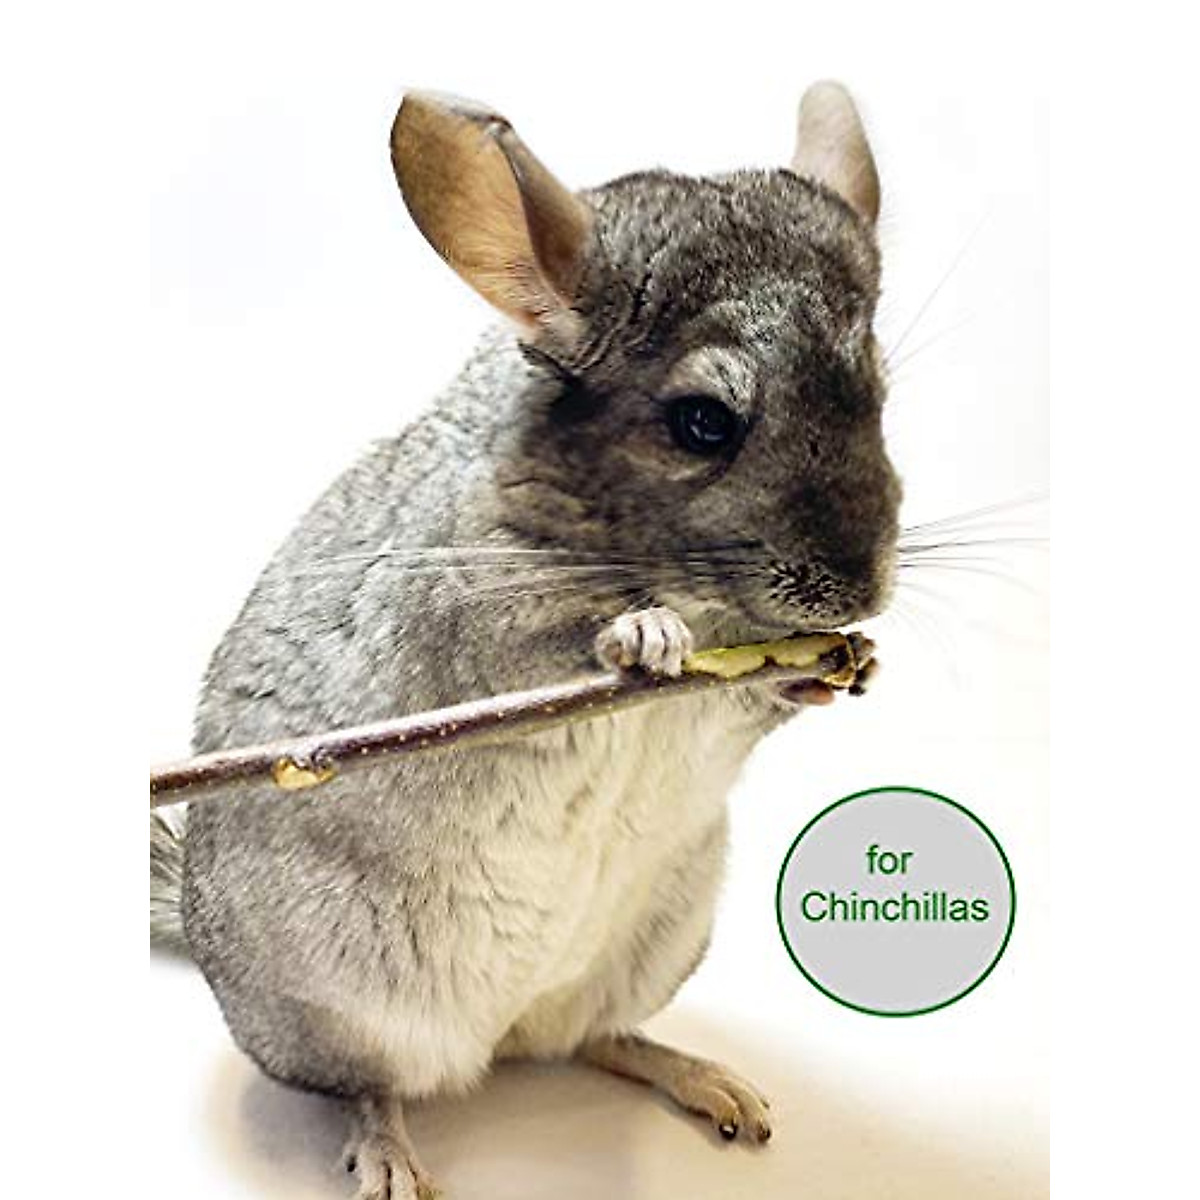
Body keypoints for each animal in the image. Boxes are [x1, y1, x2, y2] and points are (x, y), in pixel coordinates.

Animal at [150, 81, 901, 1199]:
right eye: (703, 424)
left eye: (882, 396)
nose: (865, 588)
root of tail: (498, 1036)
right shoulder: (456, 614)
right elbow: (538, 651)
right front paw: (645, 634)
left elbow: (753, 697)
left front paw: (840, 664)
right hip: (338, 1008)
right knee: (368, 1086)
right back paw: (388, 1154)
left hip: (657, 944)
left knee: (594, 1039)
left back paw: (704, 1080)